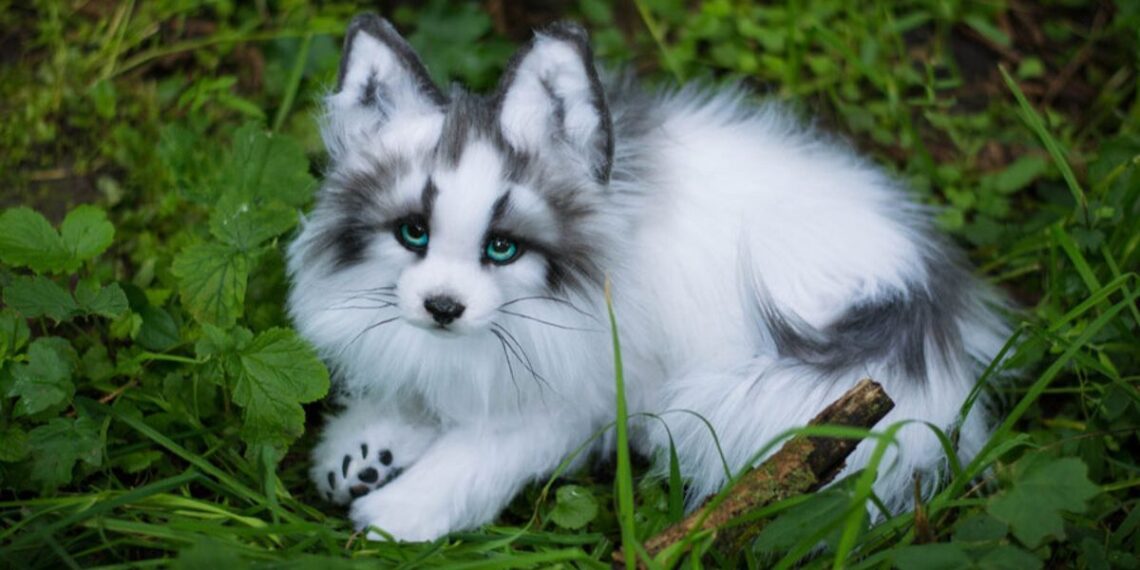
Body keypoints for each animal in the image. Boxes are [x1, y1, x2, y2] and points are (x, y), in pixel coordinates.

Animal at [286, 13, 1010, 541]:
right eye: (413, 233)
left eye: (502, 247)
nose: (442, 307)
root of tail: (926, 292)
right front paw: (362, 451)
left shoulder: (582, 395)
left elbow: (486, 451)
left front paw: (399, 514)